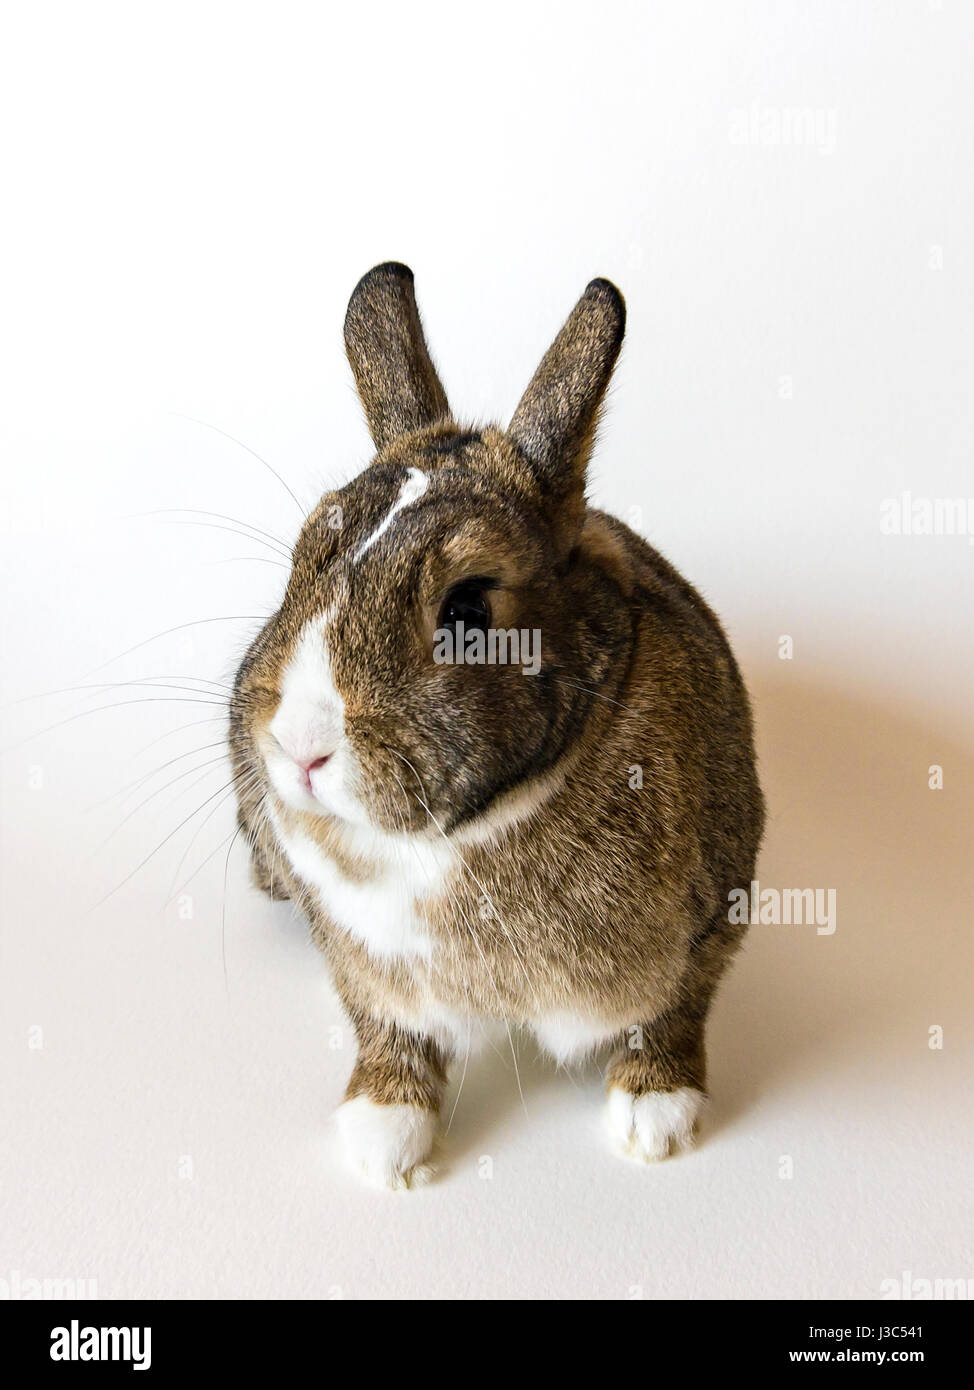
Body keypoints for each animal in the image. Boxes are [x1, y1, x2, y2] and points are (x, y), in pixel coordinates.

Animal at [229, 262, 765, 1188]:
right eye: (300, 565)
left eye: (470, 611)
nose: (299, 748)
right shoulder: (363, 970)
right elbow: (388, 1033)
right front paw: (383, 1140)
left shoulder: (709, 923)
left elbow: (676, 1013)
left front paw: (655, 1122)